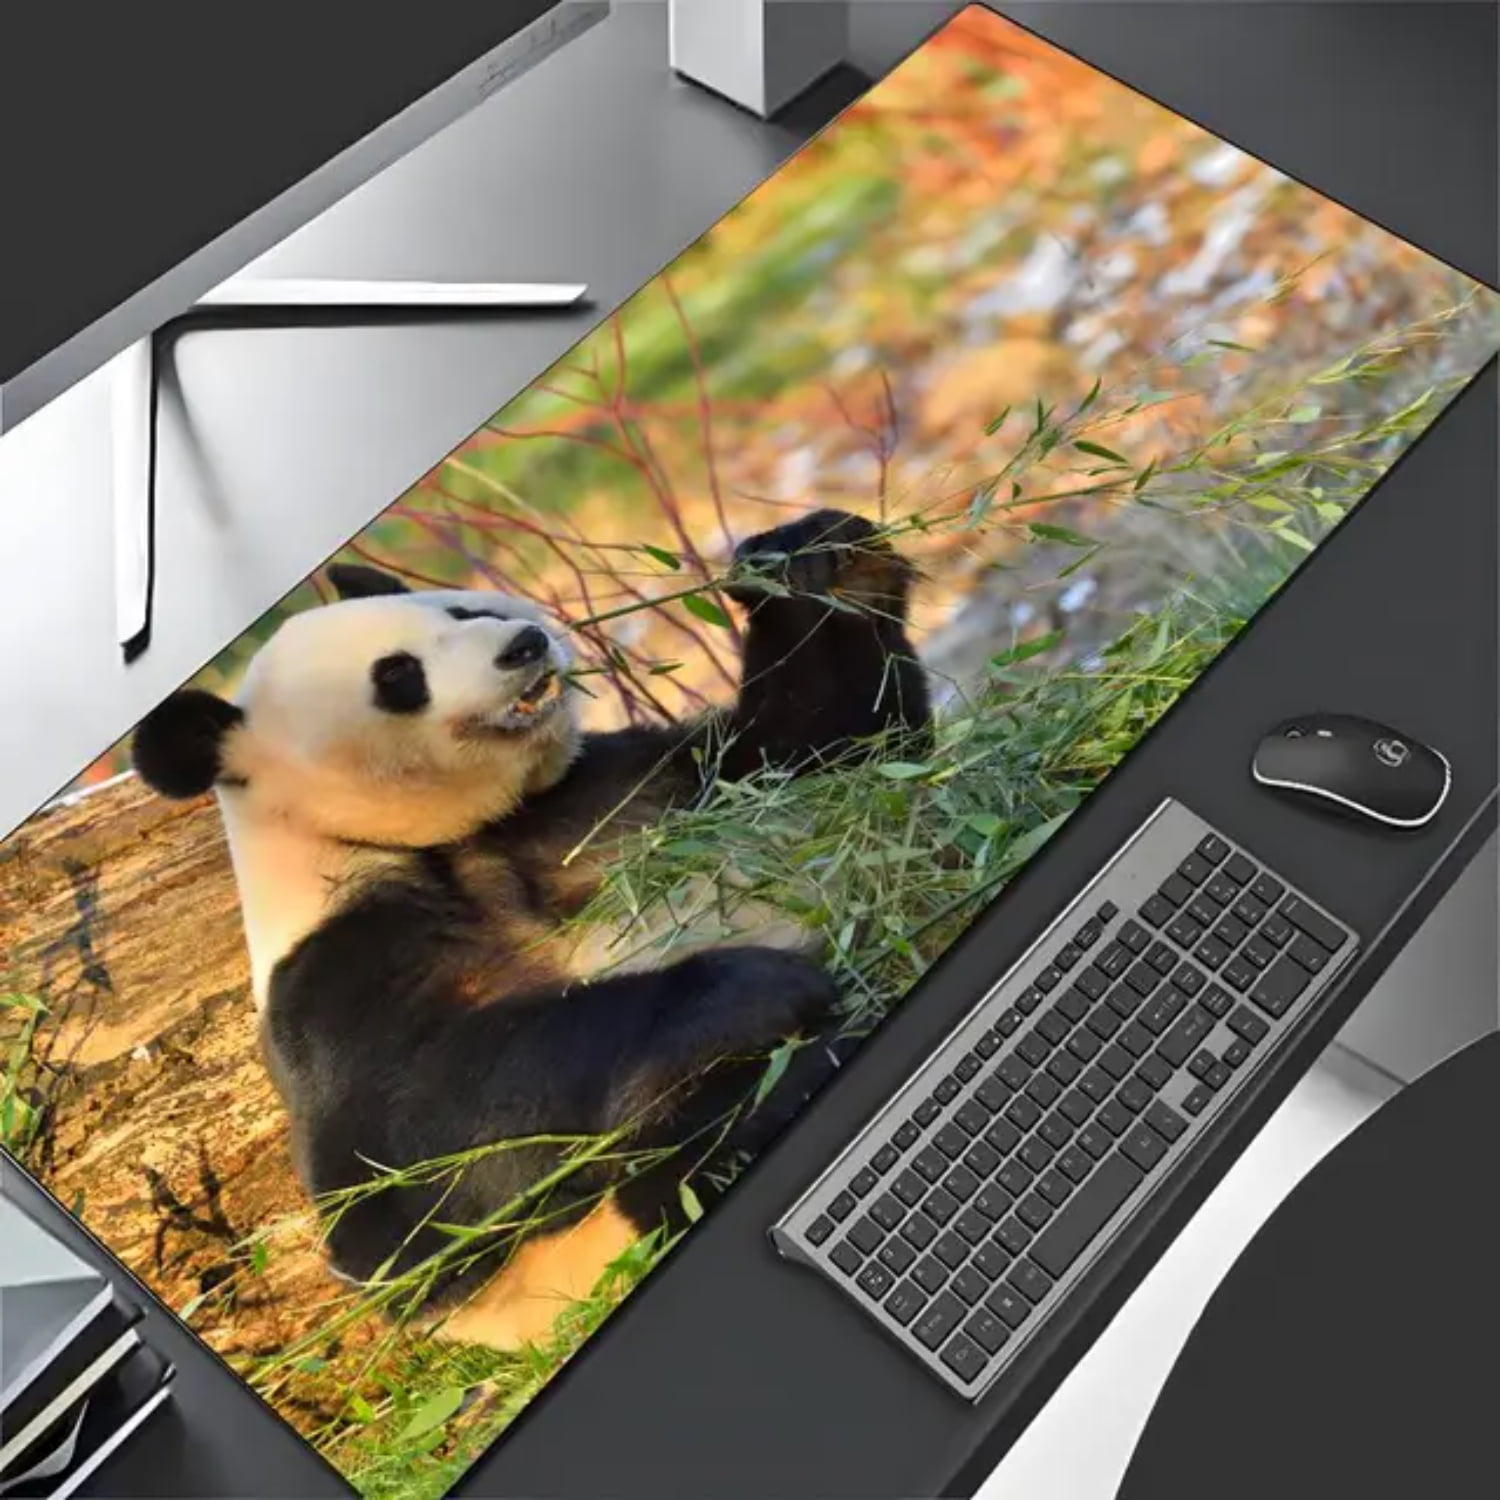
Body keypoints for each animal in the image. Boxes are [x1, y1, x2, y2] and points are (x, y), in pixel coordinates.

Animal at [131, 507, 930, 1350]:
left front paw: (812, 562)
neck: (451, 836)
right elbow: (417, 1170)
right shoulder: (333, 974)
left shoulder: (605, 796)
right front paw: (753, 988)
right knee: (682, 1151)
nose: (522, 643)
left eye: (462, 610)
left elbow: (816, 756)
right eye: (398, 675)